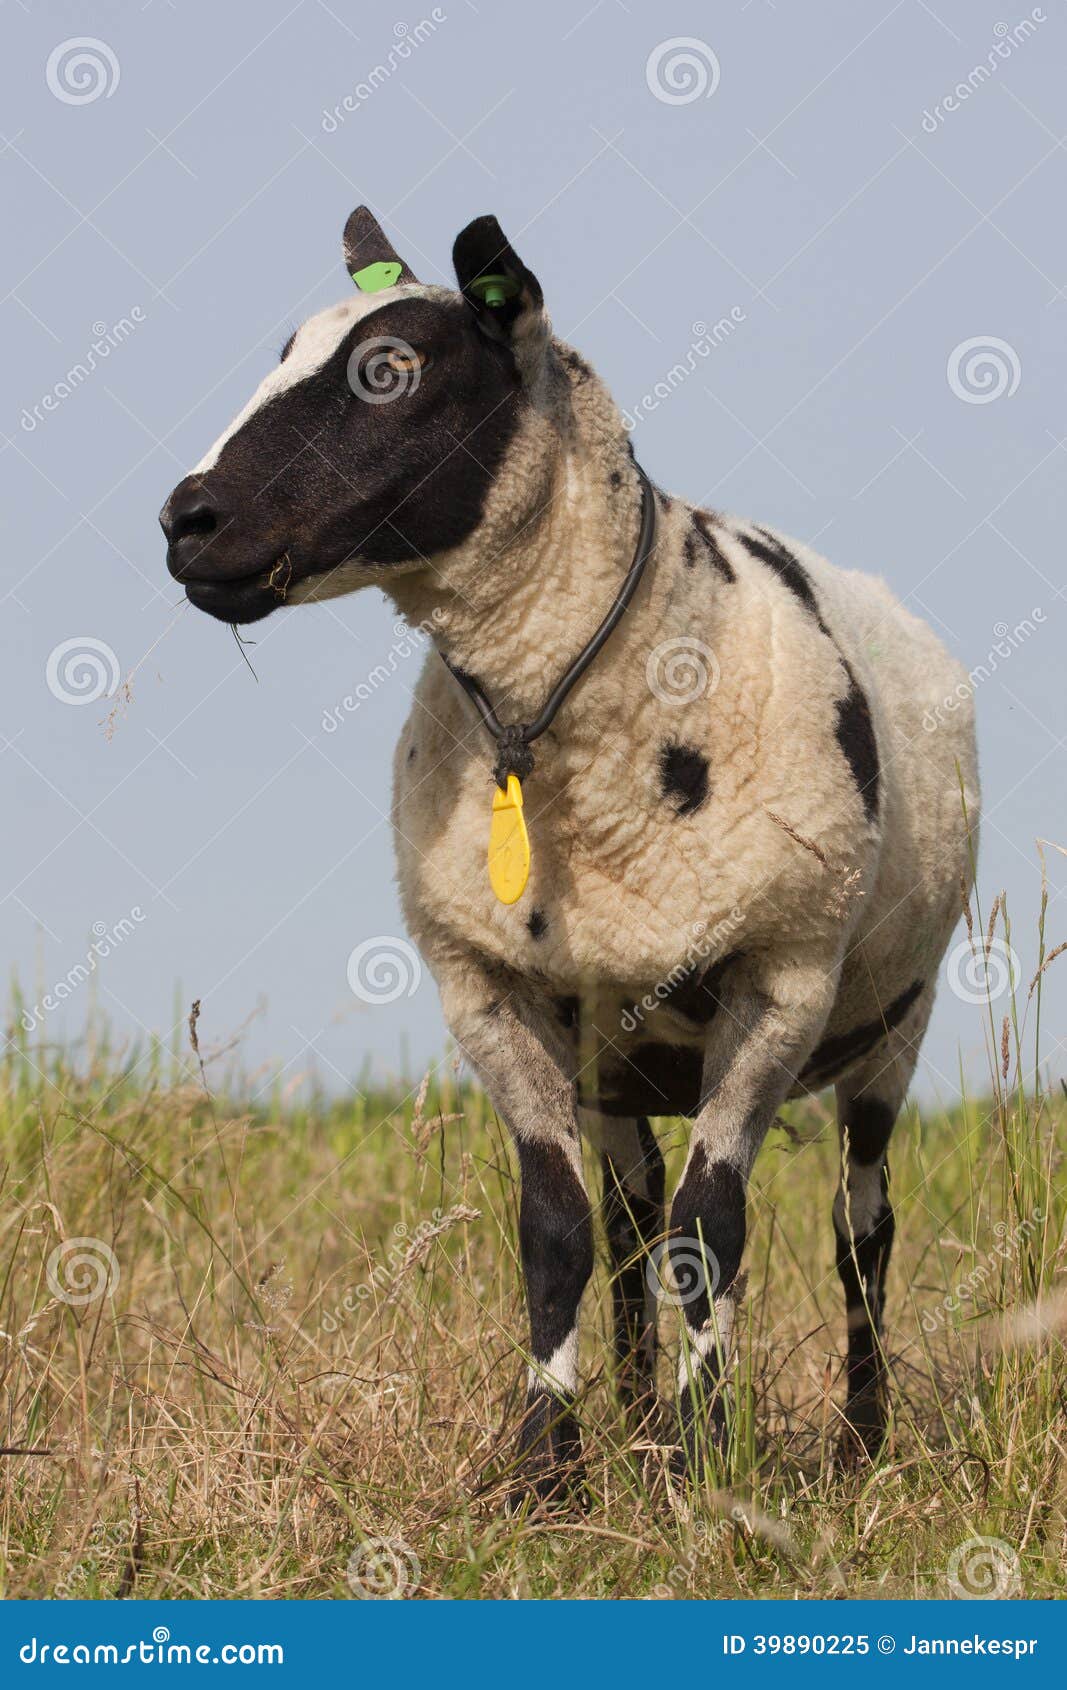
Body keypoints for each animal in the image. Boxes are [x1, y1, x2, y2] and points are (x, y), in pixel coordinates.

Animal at [160, 206, 980, 1498]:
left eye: (389, 369)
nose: (185, 522)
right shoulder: (489, 987)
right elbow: (556, 1232)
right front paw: (548, 1471)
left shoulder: (779, 976)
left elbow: (712, 1231)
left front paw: (705, 1461)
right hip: (616, 1048)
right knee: (631, 1214)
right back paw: (638, 1419)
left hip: (890, 1025)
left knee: (860, 1229)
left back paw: (855, 1442)